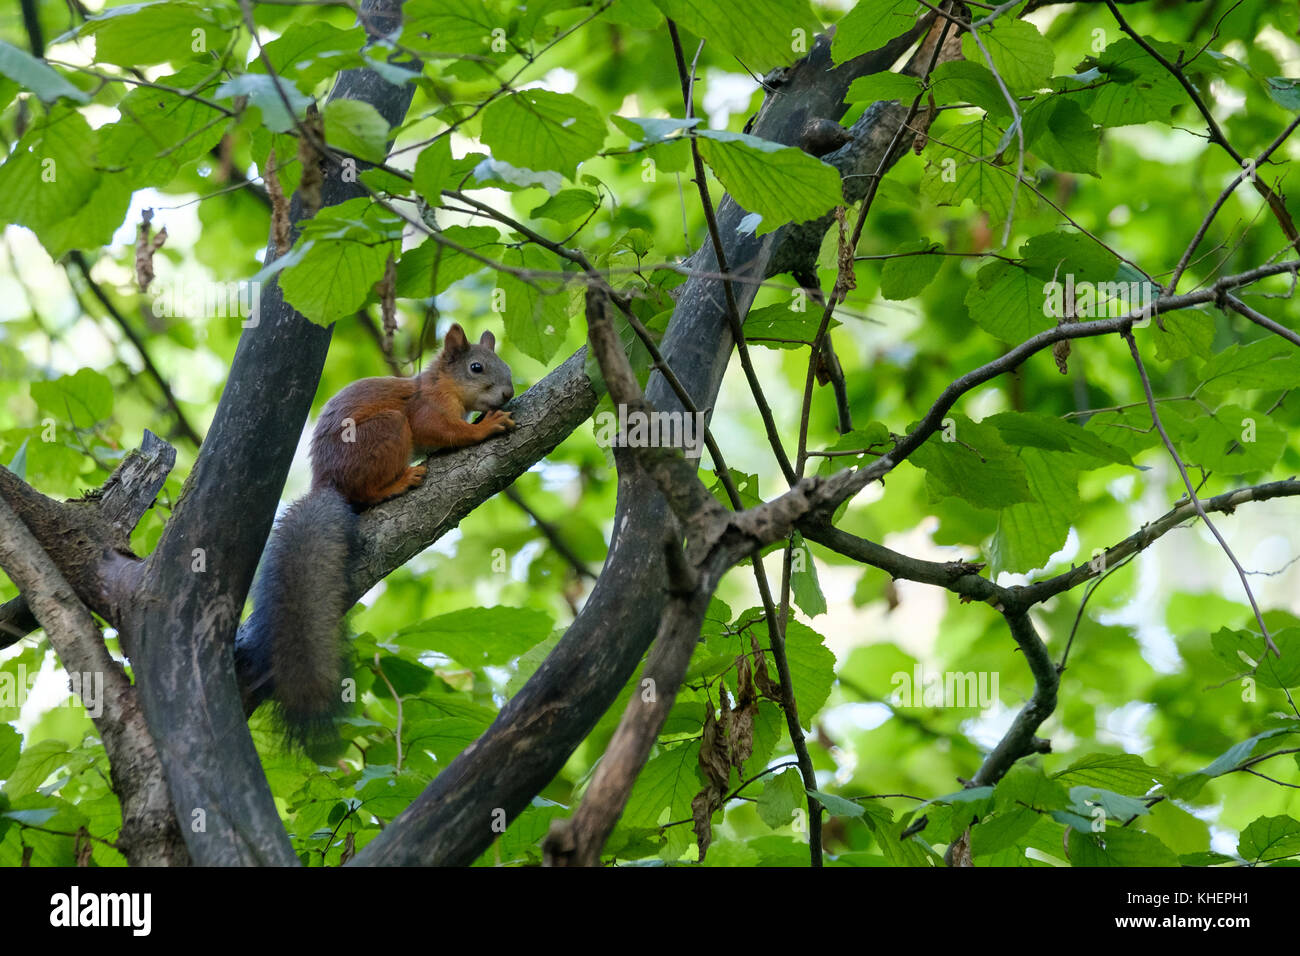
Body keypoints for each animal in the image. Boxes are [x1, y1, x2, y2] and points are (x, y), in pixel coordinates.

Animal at [246, 323, 515, 745]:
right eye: (476, 367)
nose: (508, 393)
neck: (441, 385)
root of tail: (328, 483)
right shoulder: (425, 410)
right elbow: (443, 430)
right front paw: (486, 425)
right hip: (388, 428)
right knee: (368, 491)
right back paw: (398, 482)